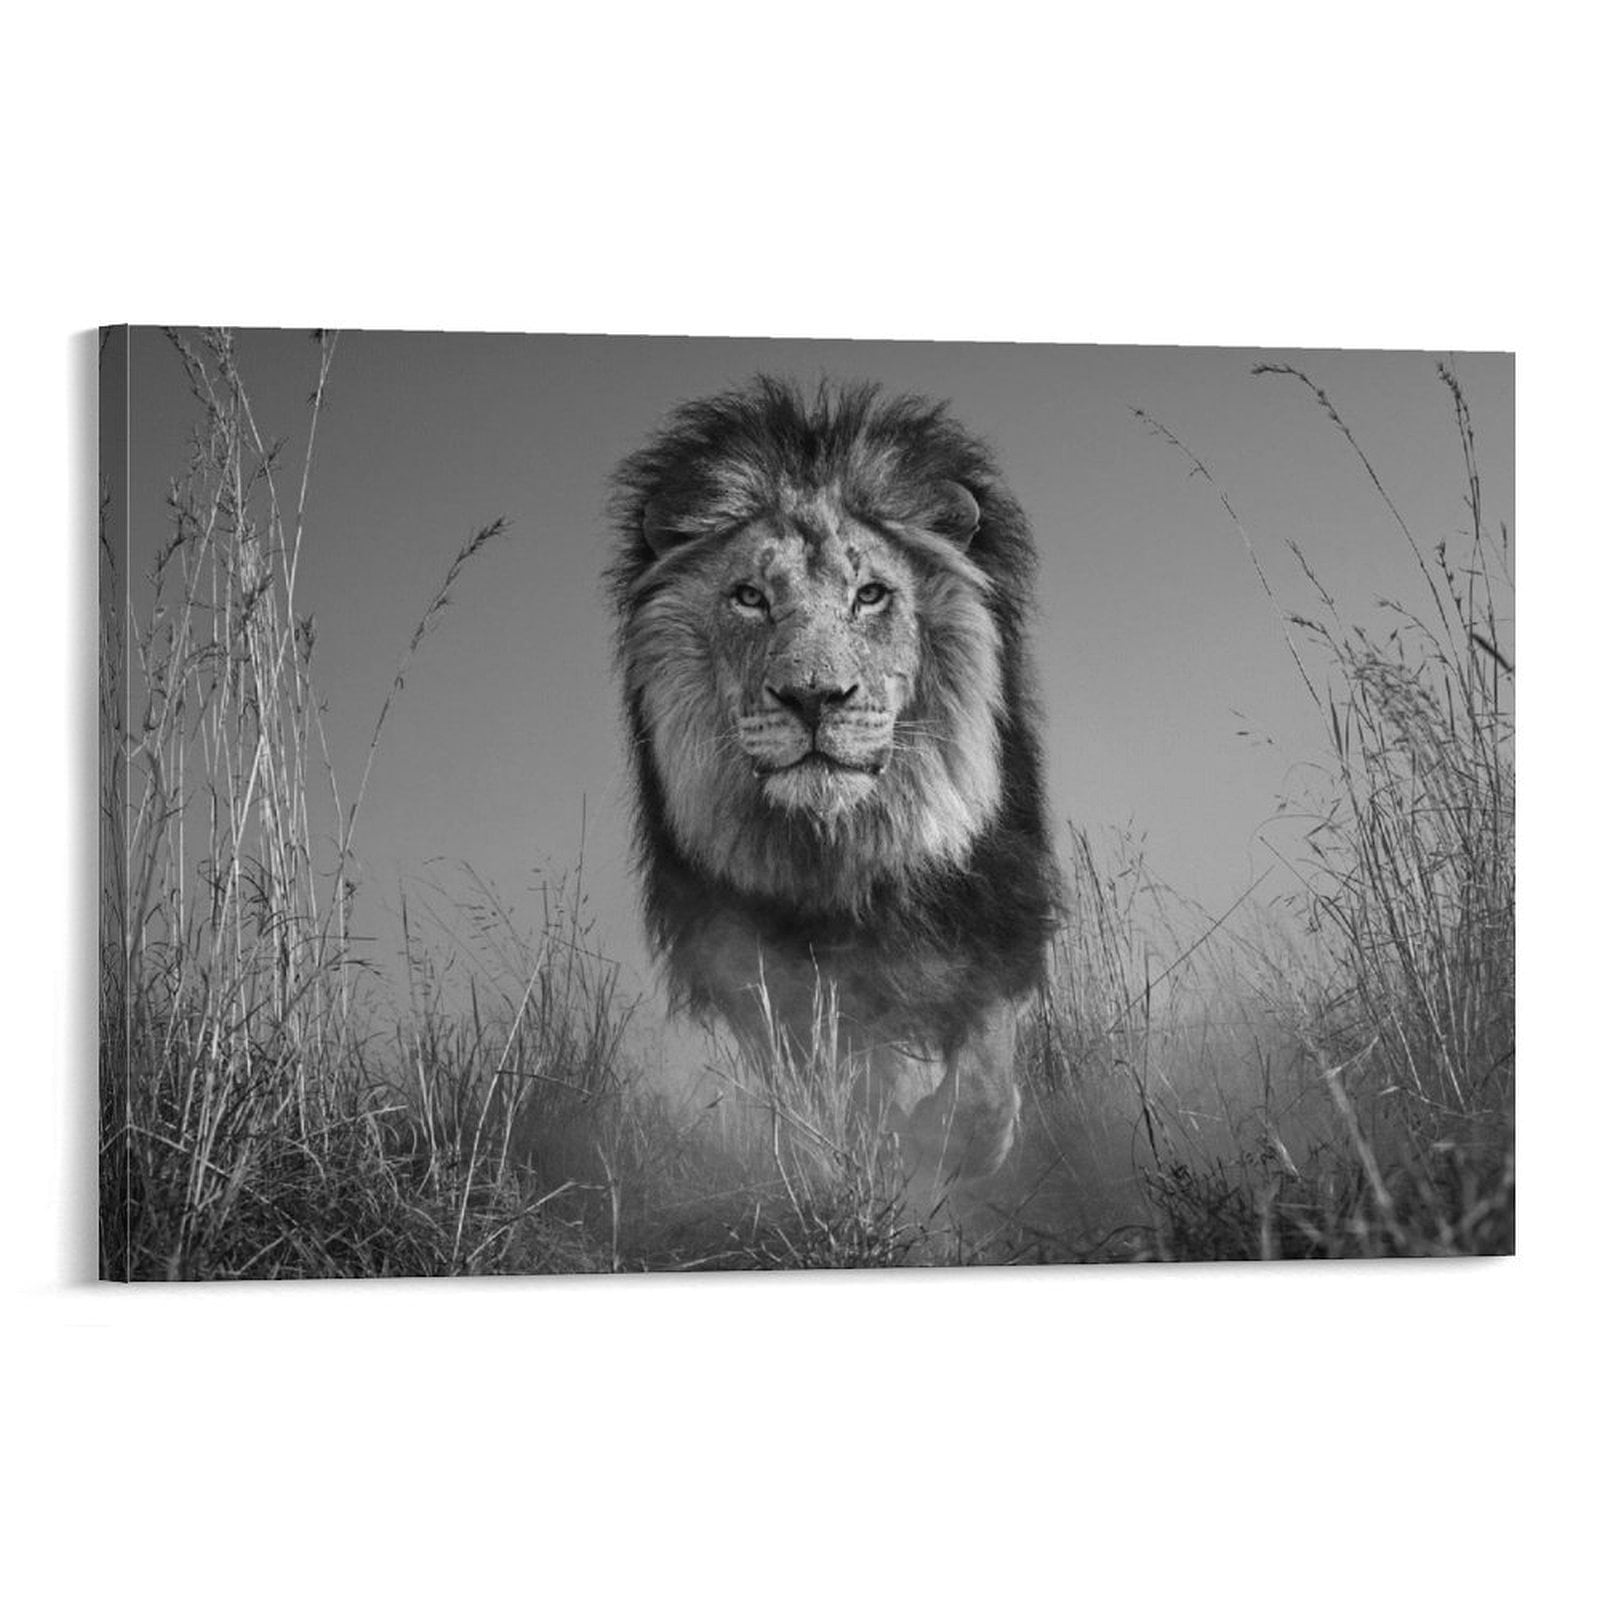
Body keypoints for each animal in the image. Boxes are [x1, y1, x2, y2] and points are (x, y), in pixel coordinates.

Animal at [609, 378, 1057, 1183]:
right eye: (750, 596)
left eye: (871, 594)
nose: (813, 697)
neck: (838, 846)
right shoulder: (765, 974)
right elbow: (845, 1082)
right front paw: (881, 1146)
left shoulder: (994, 910)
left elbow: (984, 1070)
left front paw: (945, 1140)